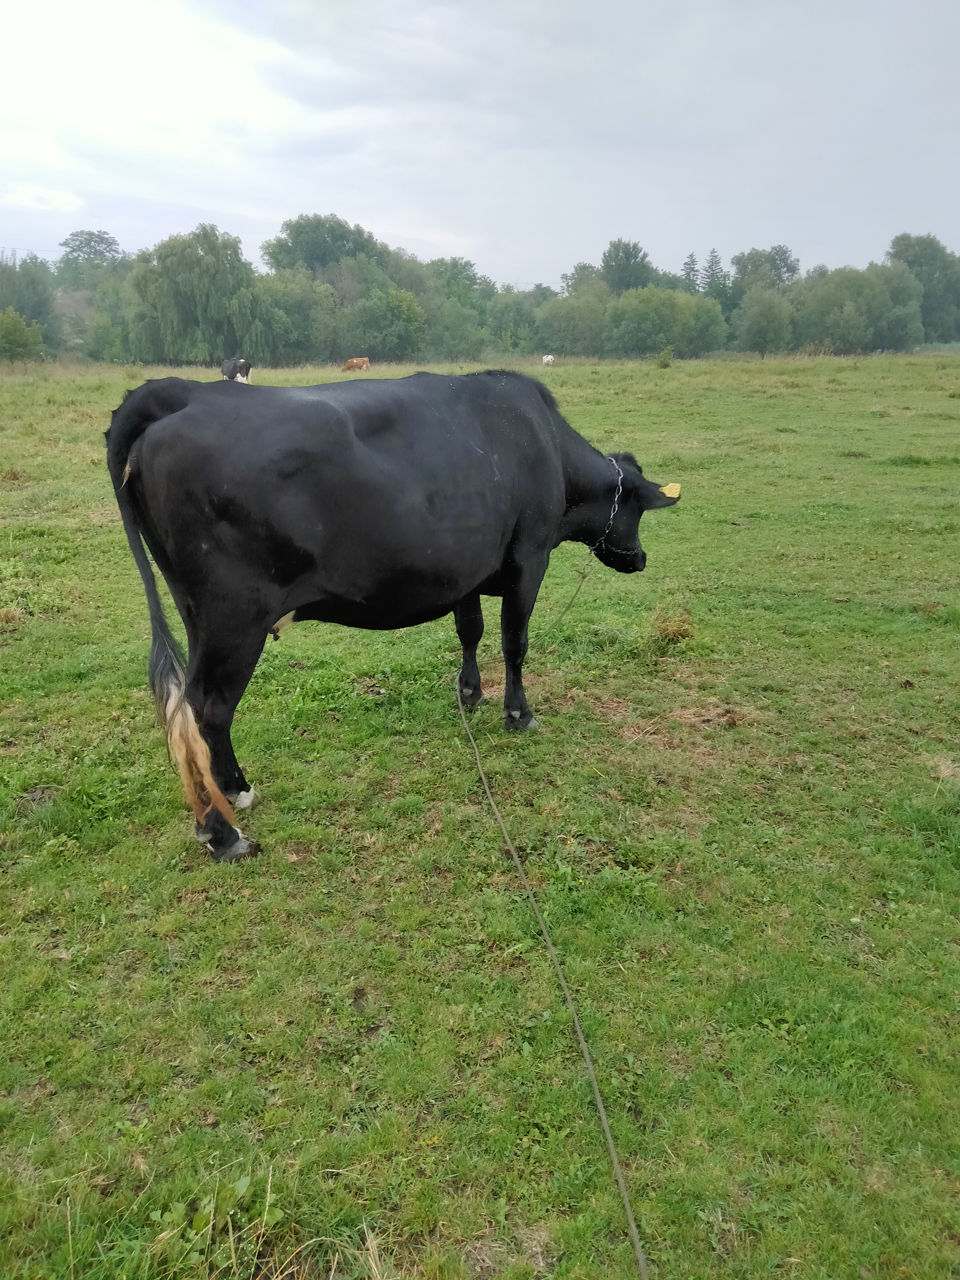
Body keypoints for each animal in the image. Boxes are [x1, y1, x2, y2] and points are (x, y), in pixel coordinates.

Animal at [106, 371, 680, 861]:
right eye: (636, 511)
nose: (640, 559)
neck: (547, 446)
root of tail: (187, 392)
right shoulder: (528, 556)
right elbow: (514, 640)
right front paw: (518, 714)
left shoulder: (466, 568)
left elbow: (469, 629)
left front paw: (469, 692)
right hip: (232, 619)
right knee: (208, 708)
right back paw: (224, 828)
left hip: (197, 615)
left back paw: (232, 796)